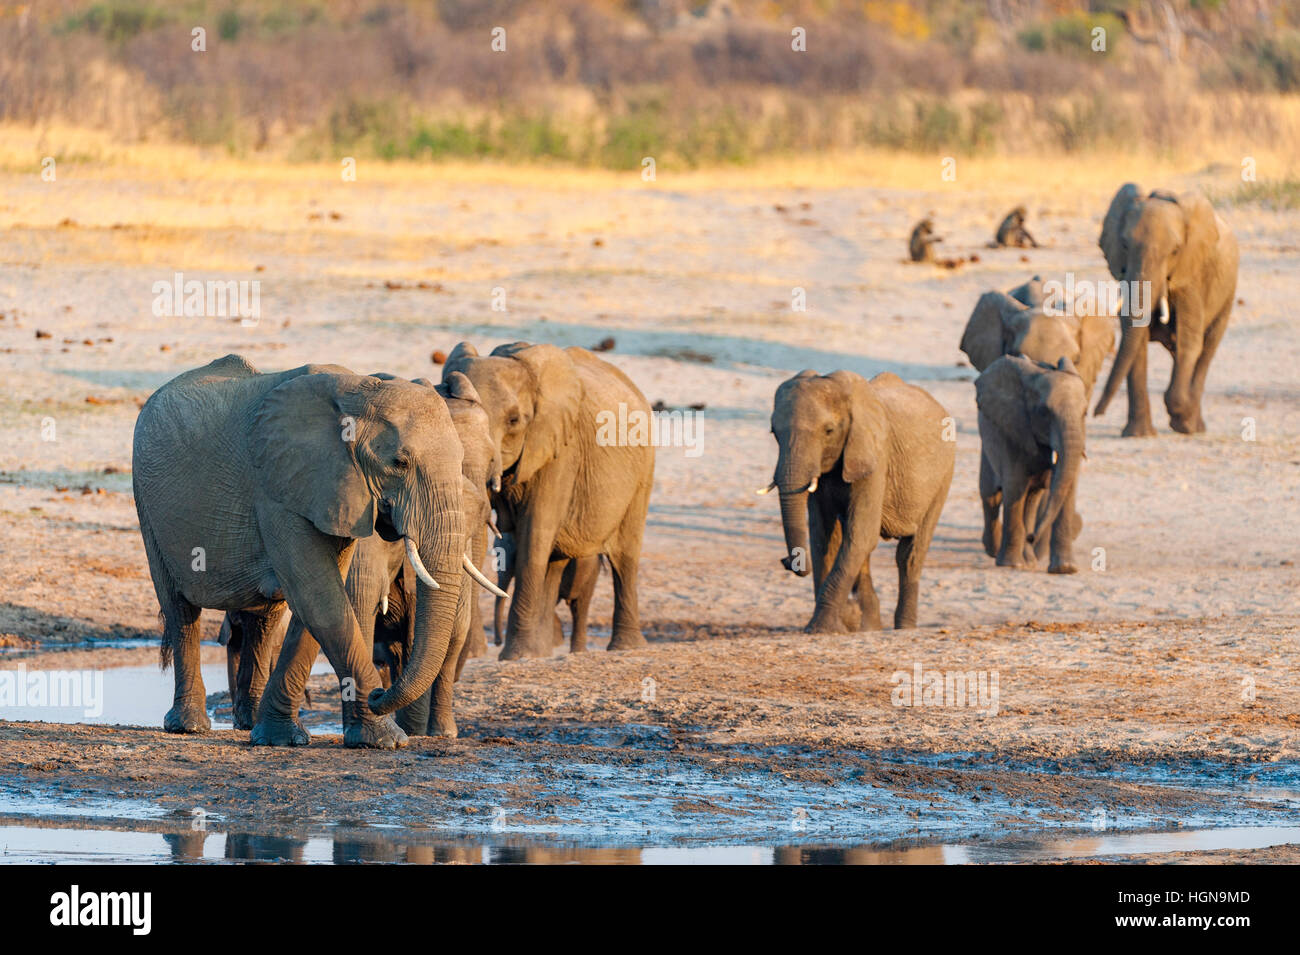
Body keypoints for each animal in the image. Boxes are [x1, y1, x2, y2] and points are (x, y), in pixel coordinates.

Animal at [133, 354, 471, 749]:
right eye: (399, 463)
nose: (378, 694)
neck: (359, 388)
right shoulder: (279, 488)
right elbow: (318, 596)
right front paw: (387, 741)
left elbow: (317, 601)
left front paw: (281, 739)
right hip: (147, 502)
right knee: (180, 609)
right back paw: (189, 726)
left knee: (265, 619)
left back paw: (249, 724)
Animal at [442, 341, 654, 659]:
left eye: (514, 420)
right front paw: (482, 654)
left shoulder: (560, 449)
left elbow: (535, 535)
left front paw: (516, 656)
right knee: (555, 562)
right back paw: (543, 651)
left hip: (642, 474)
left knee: (624, 556)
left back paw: (625, 647)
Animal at [760, 370, 955, 632]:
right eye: (774, 432)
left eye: (829, 431)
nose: (786, 561)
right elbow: (824, 537)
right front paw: (841, 625)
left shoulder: (875, 456)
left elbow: (860, 534)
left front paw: (820, 628)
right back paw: (870, 627)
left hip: (943, 477)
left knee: (909, 555)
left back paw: (903, 628)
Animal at [975, 354, 1088, 574]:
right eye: (1044, 412)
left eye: (1085, 413)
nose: (1032, 537)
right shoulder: (1014, 428)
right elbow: (1015, 485)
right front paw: (1011, 565)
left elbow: (1067, 486)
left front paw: (1065, 569)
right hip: (987, 441)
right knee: (991, 495)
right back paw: (995, 552)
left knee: (1032, 497)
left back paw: (1029, 560)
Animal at [1095, 183, 1239, 436]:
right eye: (1125, 246)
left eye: (1175, 251)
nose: (1096, 413)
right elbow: (1137, 342)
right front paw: (1138, 435)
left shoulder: (1190, 277)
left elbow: (1189, 341)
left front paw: (1180, 416)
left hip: (1227, 293)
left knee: (1206, 350)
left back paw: (1192, 427)